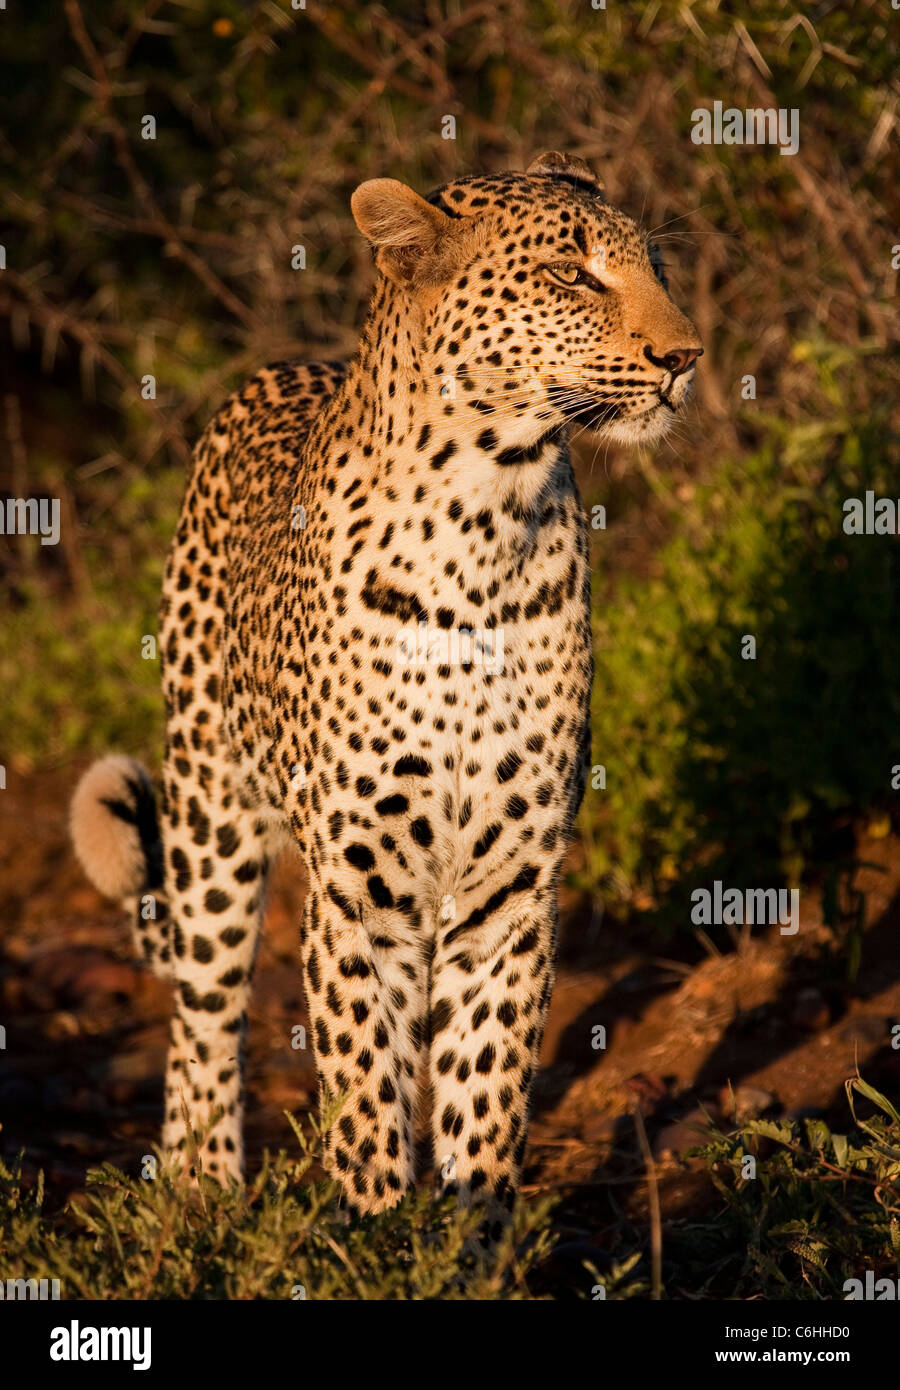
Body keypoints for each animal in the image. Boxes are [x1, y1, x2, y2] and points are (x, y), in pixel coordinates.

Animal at [71, 151, 701, 1227]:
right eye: (572, 274)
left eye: (654, 265)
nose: (686, 354)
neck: (492, 513)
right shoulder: (358, 887)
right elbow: (364, 1088)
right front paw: (371, 1230)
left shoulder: (511, 887)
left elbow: (486, 1088)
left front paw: (475, 1235)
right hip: (209, 810)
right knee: (205, 1014)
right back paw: (203, 1194)